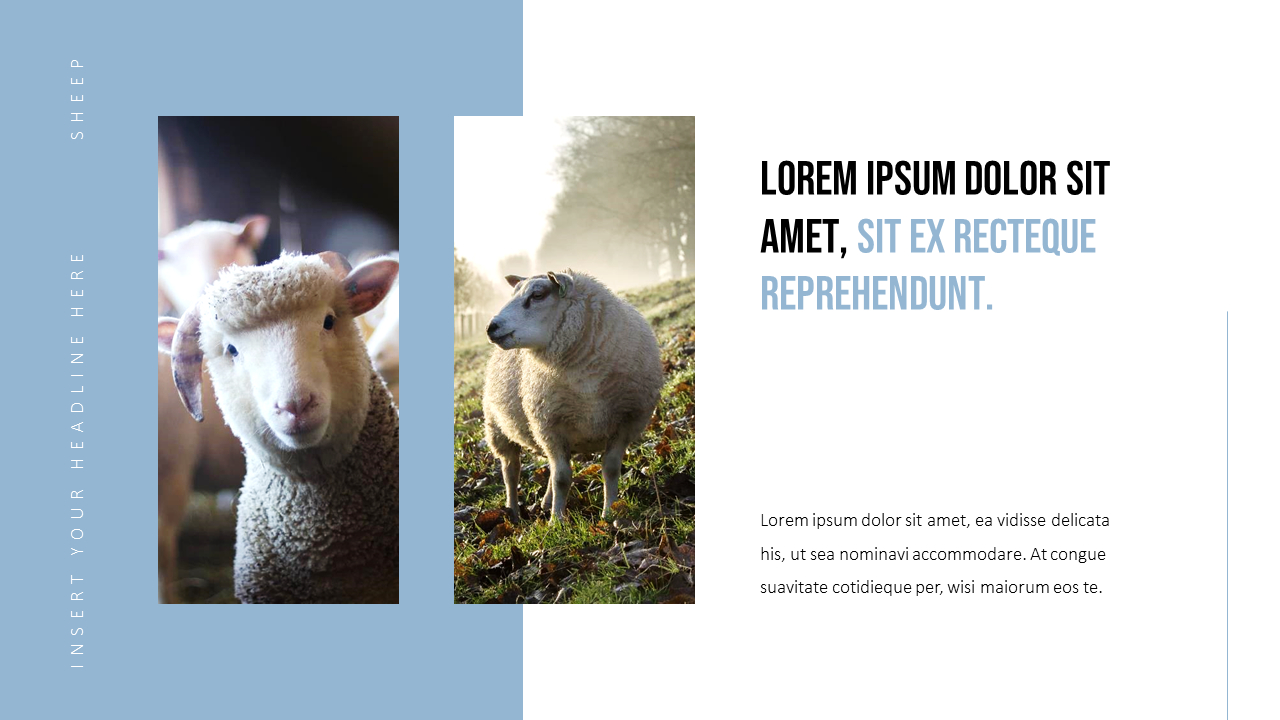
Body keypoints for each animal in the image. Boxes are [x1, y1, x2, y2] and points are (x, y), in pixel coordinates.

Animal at [483, 271, 663, 522]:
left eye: (537, 295)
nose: (491, 327)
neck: (586, 382)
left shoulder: (626, 422)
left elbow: (610, 468)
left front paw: (609, 513)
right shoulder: (549, 426)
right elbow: (562, 478)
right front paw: (557, 522)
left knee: (545, 468)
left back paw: (545, 503)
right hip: (497, 428)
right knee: (511, 470)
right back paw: (514, 512)